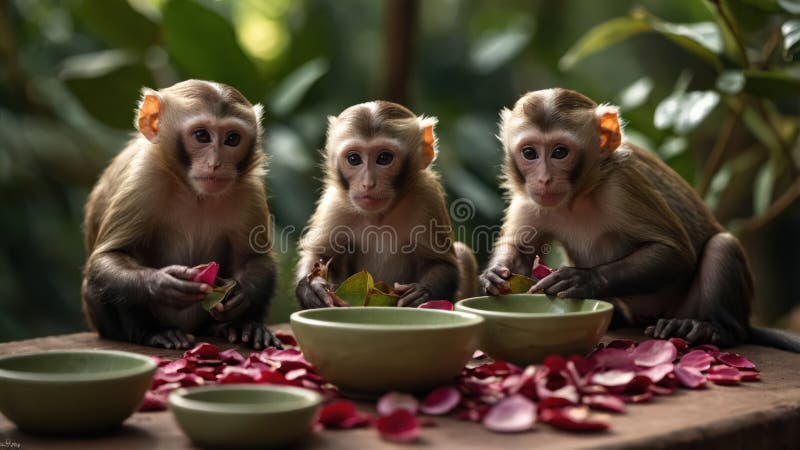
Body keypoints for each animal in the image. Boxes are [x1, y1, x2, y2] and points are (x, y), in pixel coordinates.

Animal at [82, 79, 282, 350]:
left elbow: (254, 258)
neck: (194, 192)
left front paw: (242, 293)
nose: (216, 164)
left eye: (232, 139)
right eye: (202, 135)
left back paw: (242, 327)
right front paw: (163, 283)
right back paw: (152, 332)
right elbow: (108, 257)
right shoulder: (144, 179)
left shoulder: (248, 189)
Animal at [294, 101, 477, 309]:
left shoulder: (427, 198)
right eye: (353, 159)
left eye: (384, 158)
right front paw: (313, 288)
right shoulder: (335, 205)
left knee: (464, 254)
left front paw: (421, 293)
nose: (368, 184)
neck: (380, 216)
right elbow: (320, 255)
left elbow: (442, 263)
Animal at [479, 88, 800, 351]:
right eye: (529, 153)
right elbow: (519, 254)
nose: (544, 180)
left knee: (722, 247)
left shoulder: (622, 187)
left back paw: (709, 328)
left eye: (560, 152)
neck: (578, 197)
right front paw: (494, 275)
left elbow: (675, 252)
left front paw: (584, 279)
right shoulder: (530, 199)